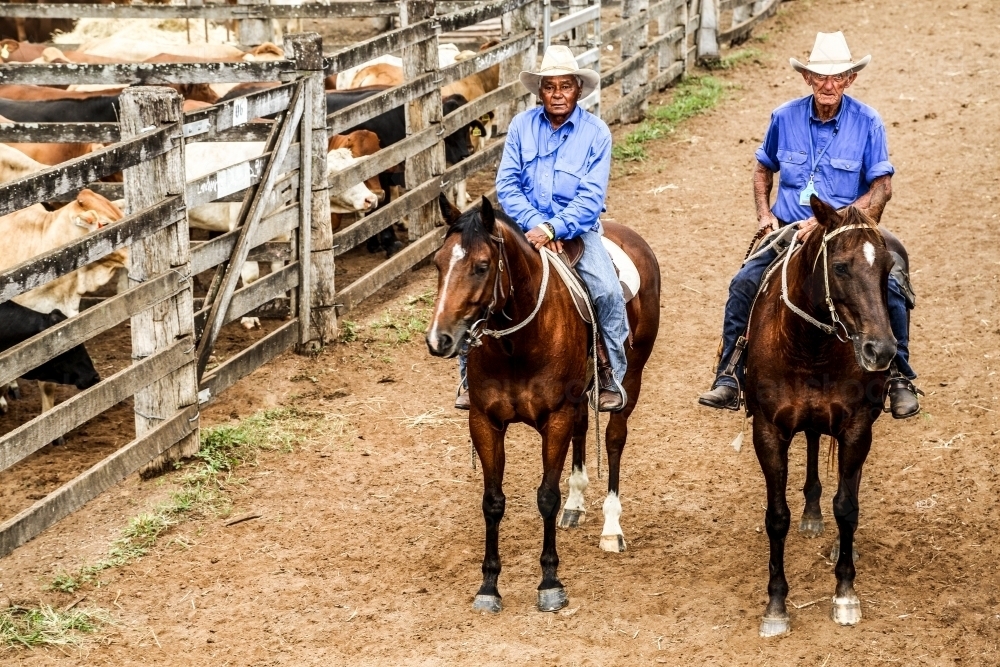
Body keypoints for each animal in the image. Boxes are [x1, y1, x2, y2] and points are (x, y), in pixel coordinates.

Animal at [426, 195, 660, 613]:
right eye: (438, 263)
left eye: (481, 266)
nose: (439, 339)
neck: (517, 345)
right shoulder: (484, 421)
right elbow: (492, 502)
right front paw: (489, 586)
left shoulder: (556, 417)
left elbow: (546, 497)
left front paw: (550, 583)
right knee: (584, 430)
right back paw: (577, 505)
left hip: (630, 379)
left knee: (614, 440)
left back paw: (611, 528)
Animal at [744, 195, 901, 637]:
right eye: (841, 266)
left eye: (887, 267)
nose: (881, 351)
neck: (809, 346)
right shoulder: (767, 431)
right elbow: (776, 516)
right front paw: (776, 606)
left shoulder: (857, 427)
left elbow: (847, 507)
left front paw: (845, 594)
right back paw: (811, 515)